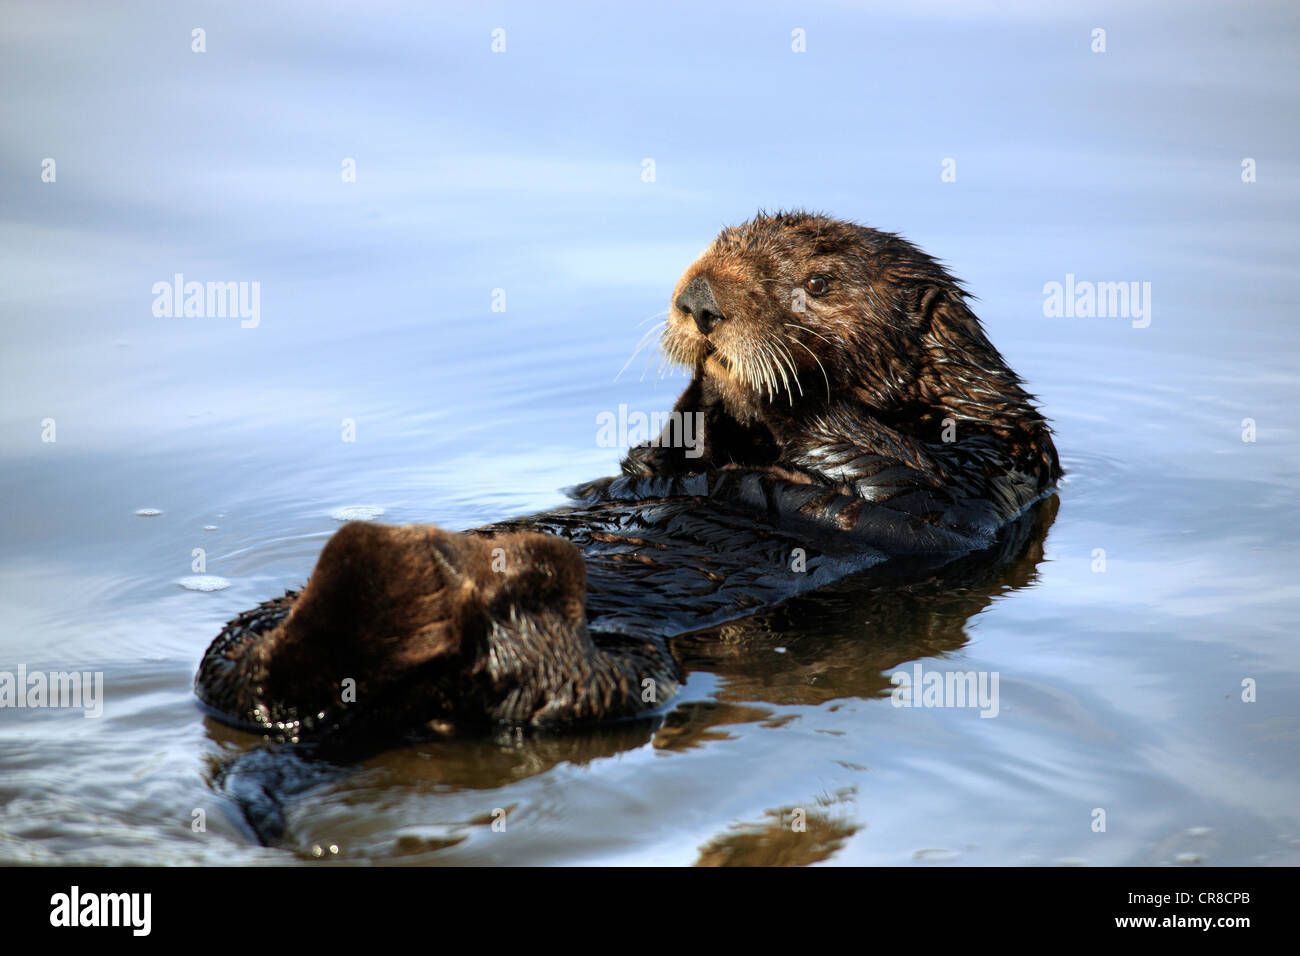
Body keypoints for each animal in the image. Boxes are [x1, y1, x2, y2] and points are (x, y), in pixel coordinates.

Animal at [196, 211, 1061, 743]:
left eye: (819, 285)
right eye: (714, 243)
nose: (701, 300)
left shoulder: (982, 473)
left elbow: (899, 476)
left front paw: (750, 384)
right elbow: (650, 464)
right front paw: (699, 394)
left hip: (615, 672)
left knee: (544, 678)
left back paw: (481, 568)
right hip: (257, 645)